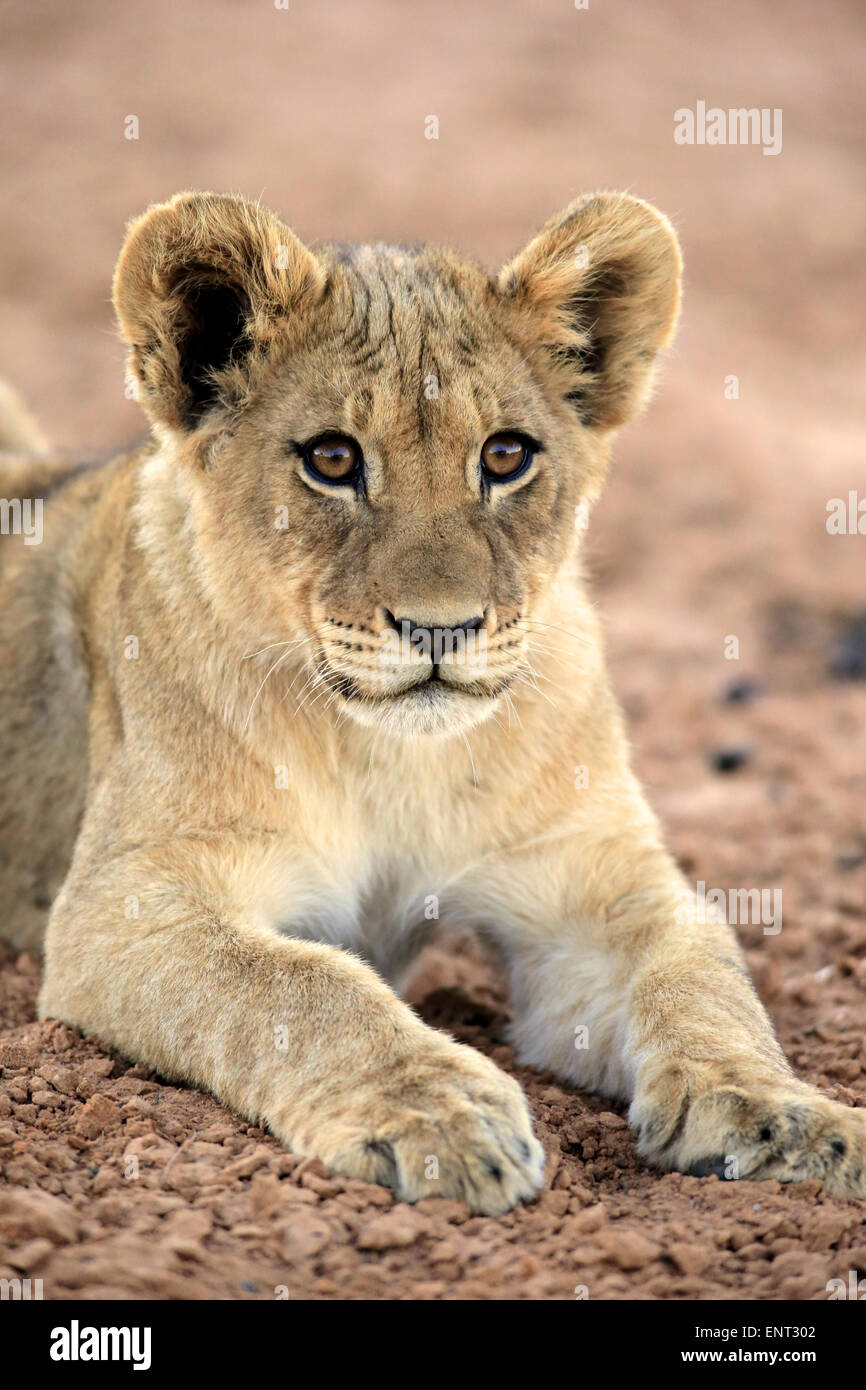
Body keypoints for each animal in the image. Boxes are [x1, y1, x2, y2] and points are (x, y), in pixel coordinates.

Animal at [0, 190, 863, 1215]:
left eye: (506, 454)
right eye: (333, 459)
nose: (442, 630)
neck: (393, 756)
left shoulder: (591, 879)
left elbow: (699, 970)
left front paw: (785, 1118)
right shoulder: (124, 904)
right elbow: (293, 985)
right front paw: (439, 1113)